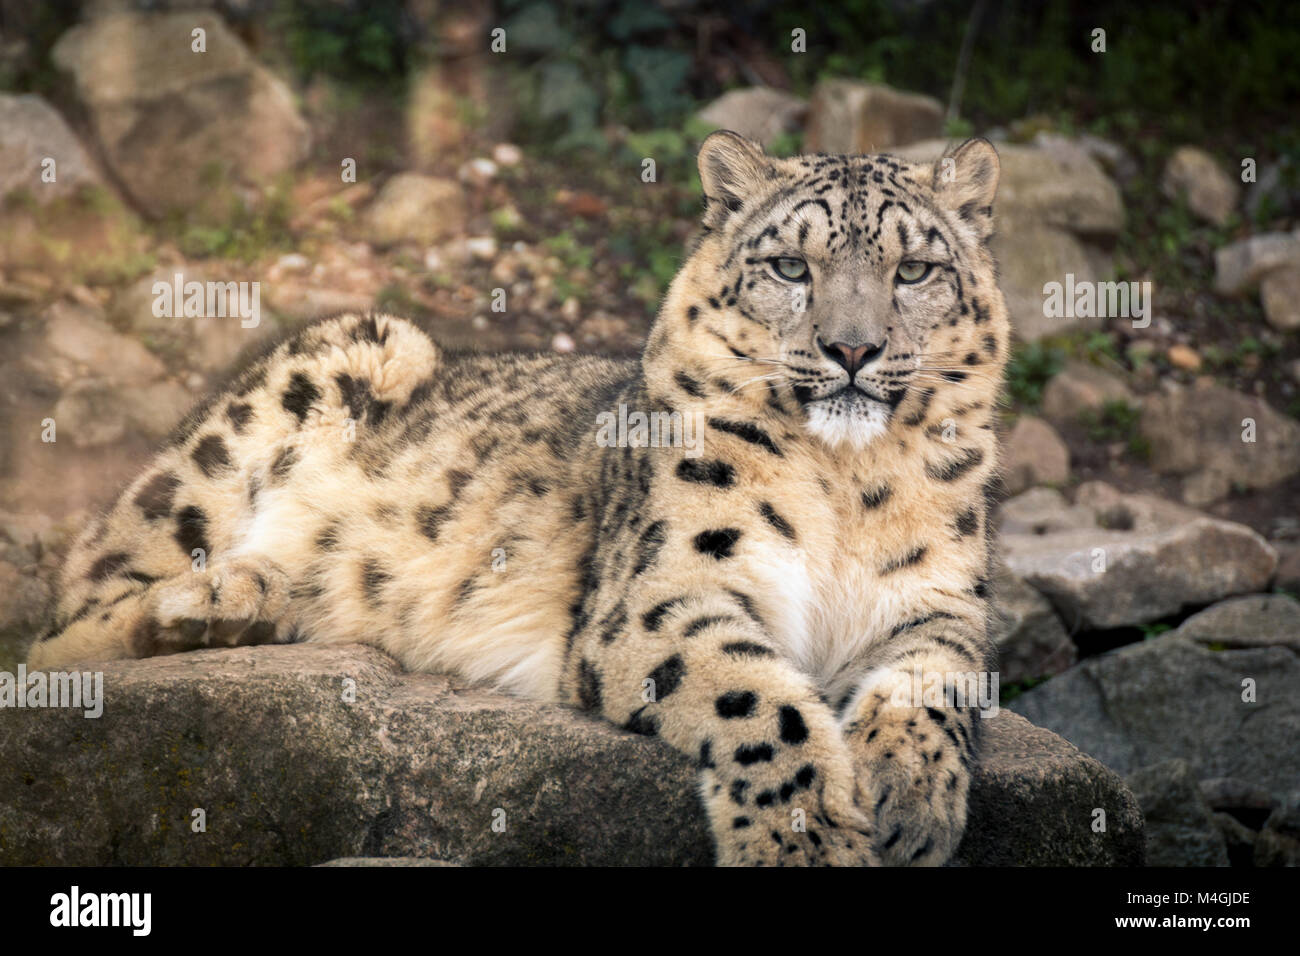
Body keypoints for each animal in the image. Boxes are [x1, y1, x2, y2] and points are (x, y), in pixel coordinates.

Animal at [28, 132, 1008, 866]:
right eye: (790, 267)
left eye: (915, 271)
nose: (853, 349)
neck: (848, 485)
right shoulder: (663, 596)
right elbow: (765, 706)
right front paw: (808, 844)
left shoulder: (937, 599)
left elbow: (940, 680)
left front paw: (913, 798)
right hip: (335, 364)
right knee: (63, 630)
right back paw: (219, 602)